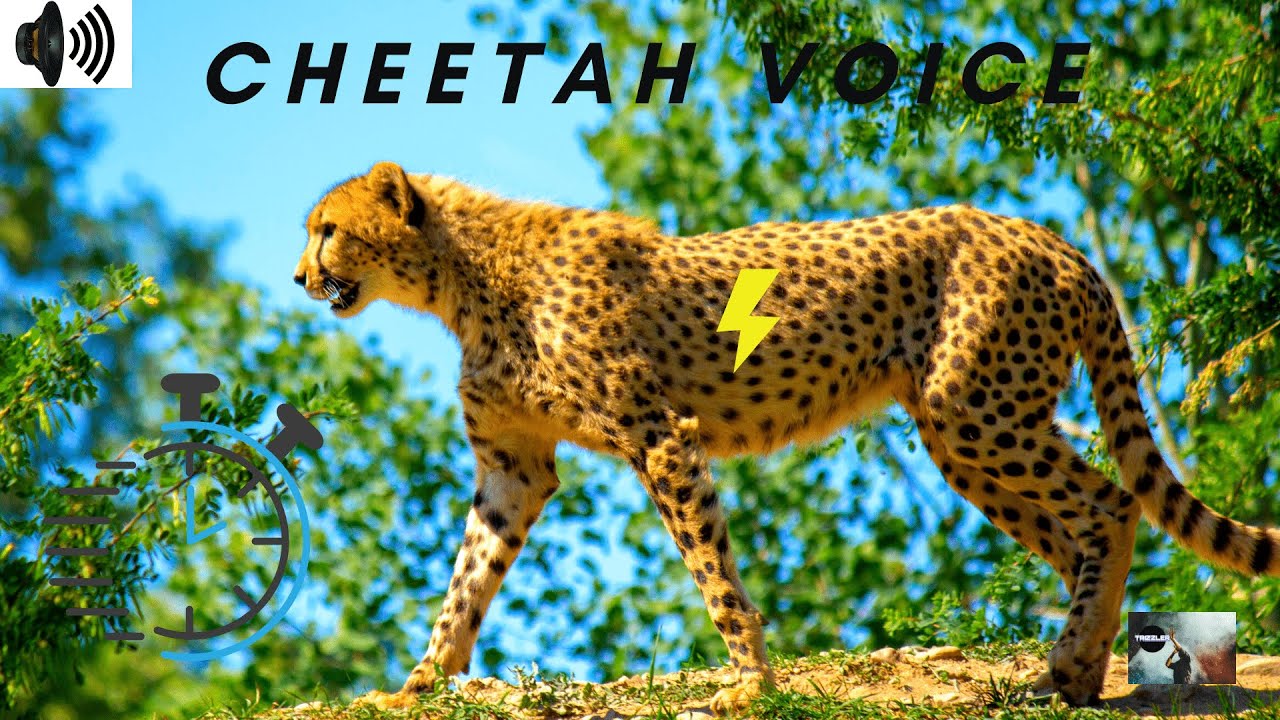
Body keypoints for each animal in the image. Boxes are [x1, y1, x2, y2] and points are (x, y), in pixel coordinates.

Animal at [293, 161, 1280, 713]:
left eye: (329, 230)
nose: (301, 277)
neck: (460, 276)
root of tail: (1048, 235)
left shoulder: (661, 436)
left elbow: (710, 569)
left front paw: (747, 681)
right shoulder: (513, 467)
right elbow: (467, 581)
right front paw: (418, 682)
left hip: (980, 411)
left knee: (1109, 504)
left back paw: (1073, 665)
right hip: (962, 436)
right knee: (1079, 529)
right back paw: (1069, 673)